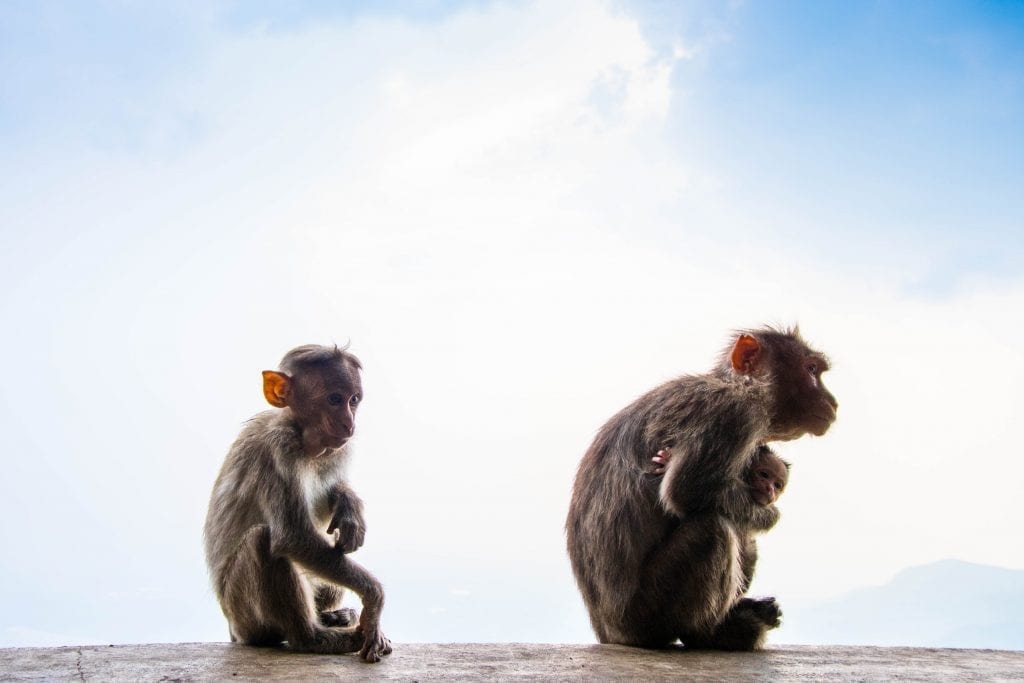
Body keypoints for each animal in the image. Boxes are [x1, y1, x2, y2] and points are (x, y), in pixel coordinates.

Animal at [203, 344, 392, 663]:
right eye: (334, 399)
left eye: (353, 399)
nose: (350, 423)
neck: (301, 434)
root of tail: (234, 631)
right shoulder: (280, 449)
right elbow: (293, 536)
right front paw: (374, 598)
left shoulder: (336, 451)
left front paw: (349, 506)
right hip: (242, 614)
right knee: (263, 539)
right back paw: (314, 637)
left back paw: (334, 616)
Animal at [566, 326, 837, 651]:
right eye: (811, 370)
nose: (832, 401)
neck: (739, 386)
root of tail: (609, 633)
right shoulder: (730, 413)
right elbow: (688, 490)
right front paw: (769, 515)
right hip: (645, 614)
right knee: (714, 528)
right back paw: (709, 634)